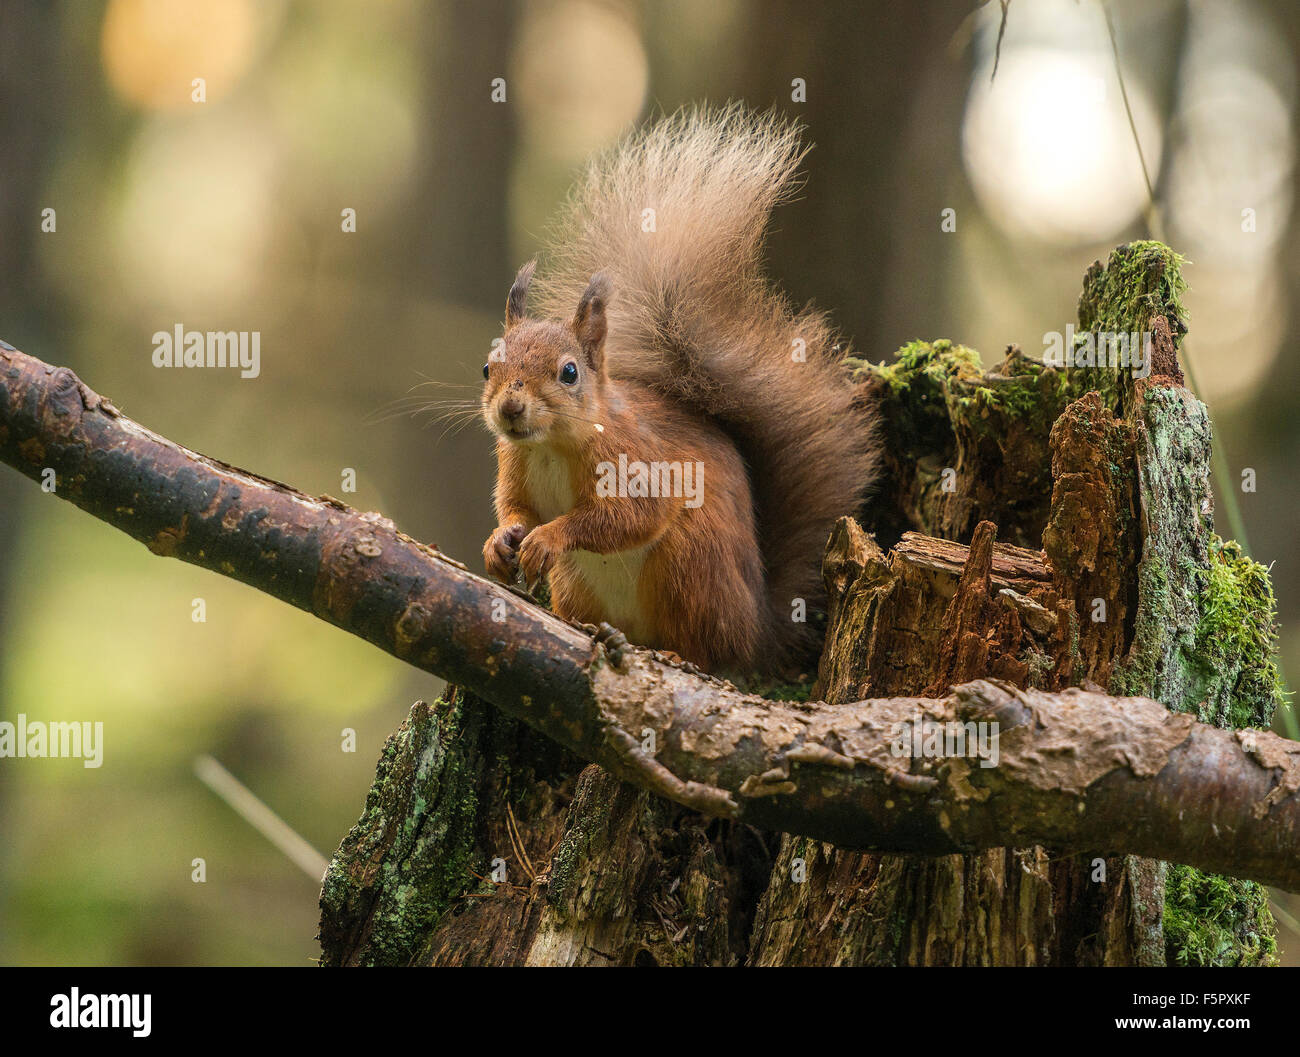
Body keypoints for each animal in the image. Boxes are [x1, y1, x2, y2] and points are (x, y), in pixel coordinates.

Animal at [480, 105, 876, 675]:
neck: (551, 445)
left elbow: (631, 515)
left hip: (689, 565)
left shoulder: (635, 458)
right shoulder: (514, 465)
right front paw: (500, 541)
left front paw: (549, 536)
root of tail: (759, 632)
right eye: (487, 368)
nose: (510, 409)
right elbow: (515, 509)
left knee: (708, 650)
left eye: (570, 373)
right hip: (578, 582)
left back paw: (678, 654)